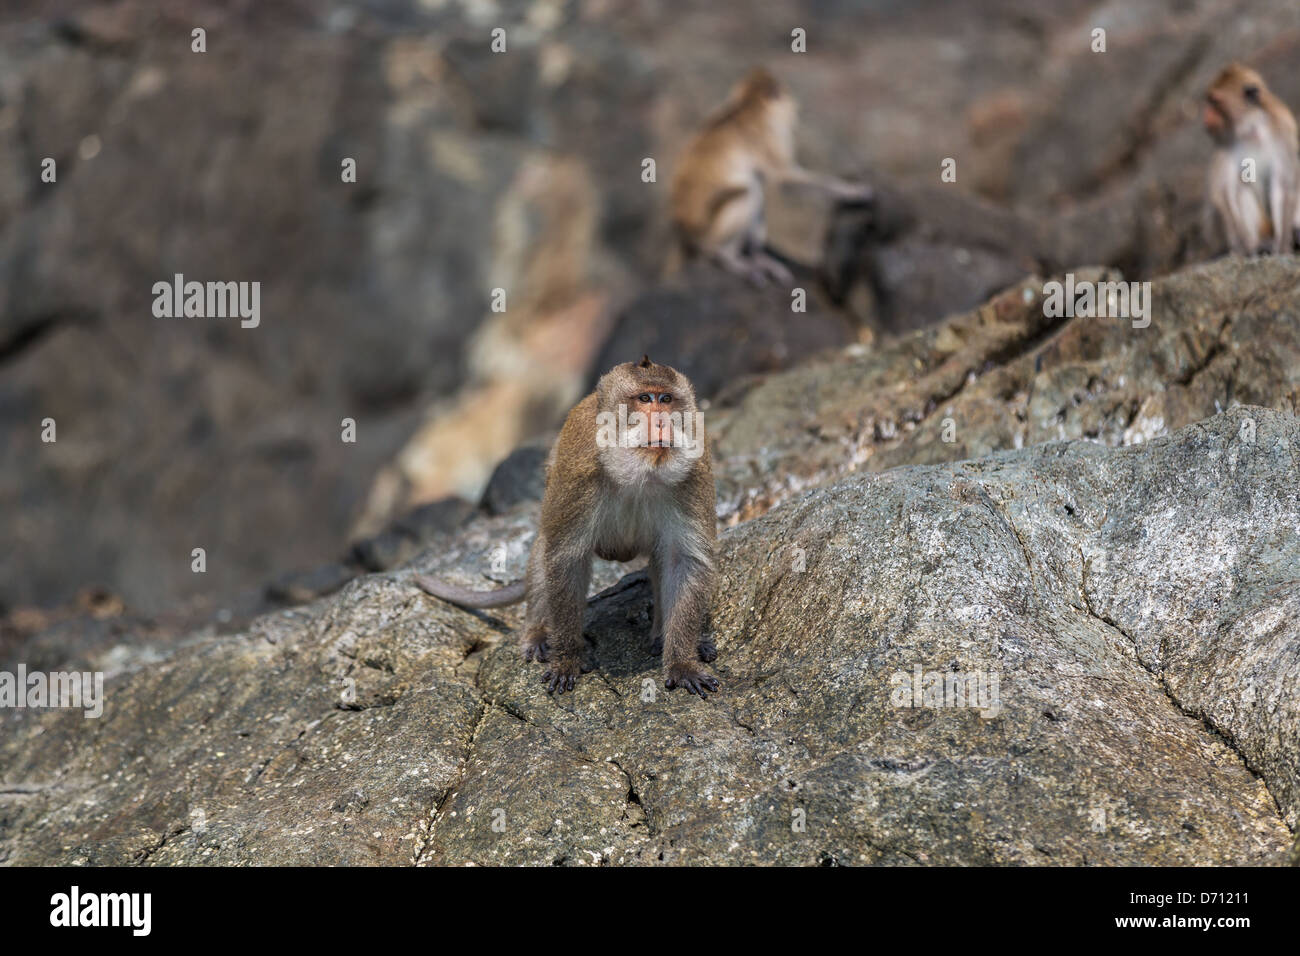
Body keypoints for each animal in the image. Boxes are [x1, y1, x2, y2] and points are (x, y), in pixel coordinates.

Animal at [415, 357, 720, 697]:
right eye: (645, 399)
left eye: (666, 399)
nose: (662, 423)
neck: (639, 471)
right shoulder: (579, 474)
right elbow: (565, 559)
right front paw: (567, 658)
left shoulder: (694, 473)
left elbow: (683, 561)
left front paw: (681, 662)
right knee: (545, 544)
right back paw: (538, 633)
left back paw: (669, 637)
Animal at [669, 67, 873, 285]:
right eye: (786, 94)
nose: (795, 105)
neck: (748, 106)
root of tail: (686, 235)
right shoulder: (771, 134)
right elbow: (786, 180)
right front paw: (852, 191)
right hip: (708, 232)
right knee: (747, 194)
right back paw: (729, 259)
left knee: (755, 187)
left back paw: (758, 258)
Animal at [1203, 63, 1300, 256]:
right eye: (1210, 101)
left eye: (1215, 102)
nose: (1205, 115)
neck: (1251, 128)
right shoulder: (1224, 141)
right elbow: (1223, 191)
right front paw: (1244, 247)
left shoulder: (1283, 132)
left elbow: (1284, 185)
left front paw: (1283, 247)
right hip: (1262, 226)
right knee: (1239, 189)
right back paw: (1257, 245)